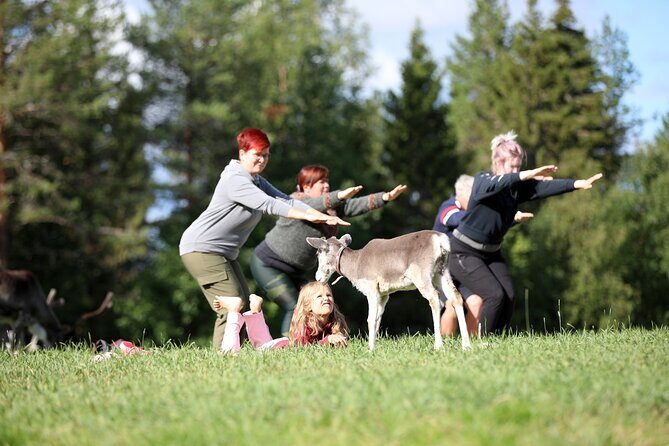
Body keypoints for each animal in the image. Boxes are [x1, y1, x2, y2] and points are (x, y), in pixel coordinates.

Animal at [306, 230, 472, 351]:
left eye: (319, 253)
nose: (318, 277)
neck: (356, 267)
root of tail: (441, 241)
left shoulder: (371, 288)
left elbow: (370, 319)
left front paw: (370, 349)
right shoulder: (384, 294)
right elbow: (378, 318)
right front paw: (373, 346)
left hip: (421, 274)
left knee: (435, 298)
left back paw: (438, 346)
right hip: (442, 272)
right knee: (456, 296)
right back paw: (466, 345)